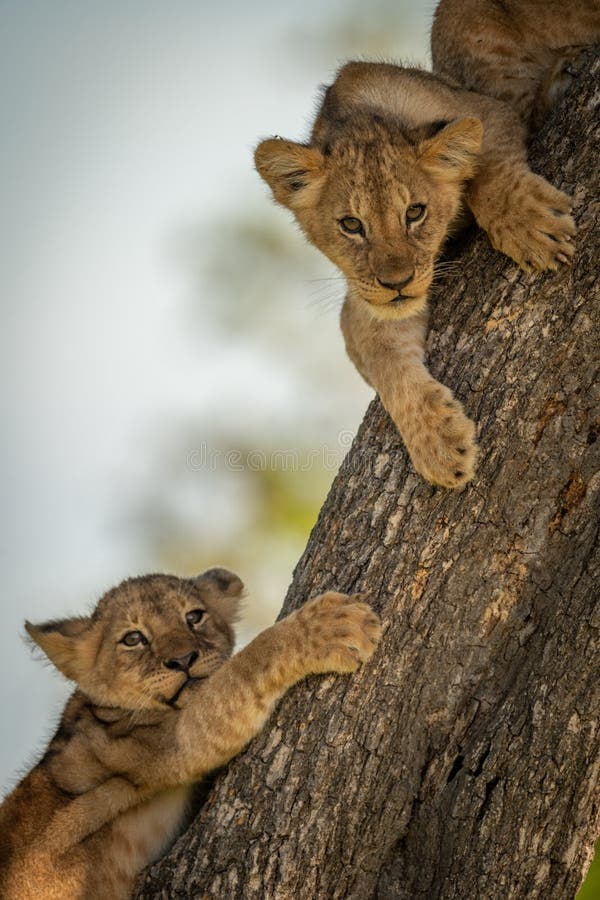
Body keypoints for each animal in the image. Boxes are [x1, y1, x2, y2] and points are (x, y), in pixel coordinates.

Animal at [0, 568, 380, 899]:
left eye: (194, 616)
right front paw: (333, 626)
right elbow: (247, 665)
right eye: (133, 639)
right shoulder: (170, 742)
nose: (183, 660)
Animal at [255, 0, 600, 488]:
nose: (396, 283)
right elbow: (385, 359)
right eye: (351, 224)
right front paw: (439, 444)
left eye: (414, 212)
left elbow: (489, 165)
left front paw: (531, 229)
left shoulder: (484, 110)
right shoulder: (363, 305)